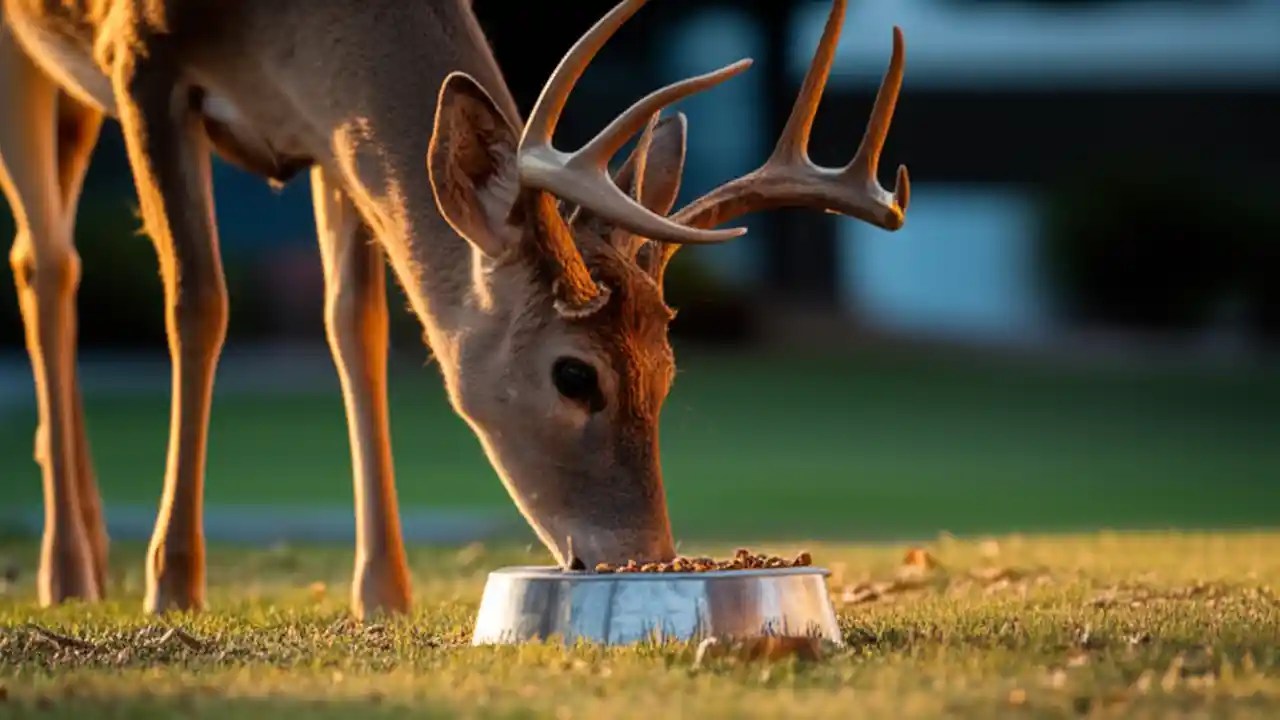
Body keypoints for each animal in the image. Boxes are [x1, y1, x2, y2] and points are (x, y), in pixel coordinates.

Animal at [0, 0, 908, 619]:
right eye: (575, 375)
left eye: (667, 370)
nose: (645, 557)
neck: (277, 28)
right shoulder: (142, 59)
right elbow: (199, 300)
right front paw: (174, 584)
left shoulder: (330, 130)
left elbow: (355, 325)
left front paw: (383, 591)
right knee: (47, 262)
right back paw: (67, 569)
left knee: (53, 262)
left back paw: (91, 556)